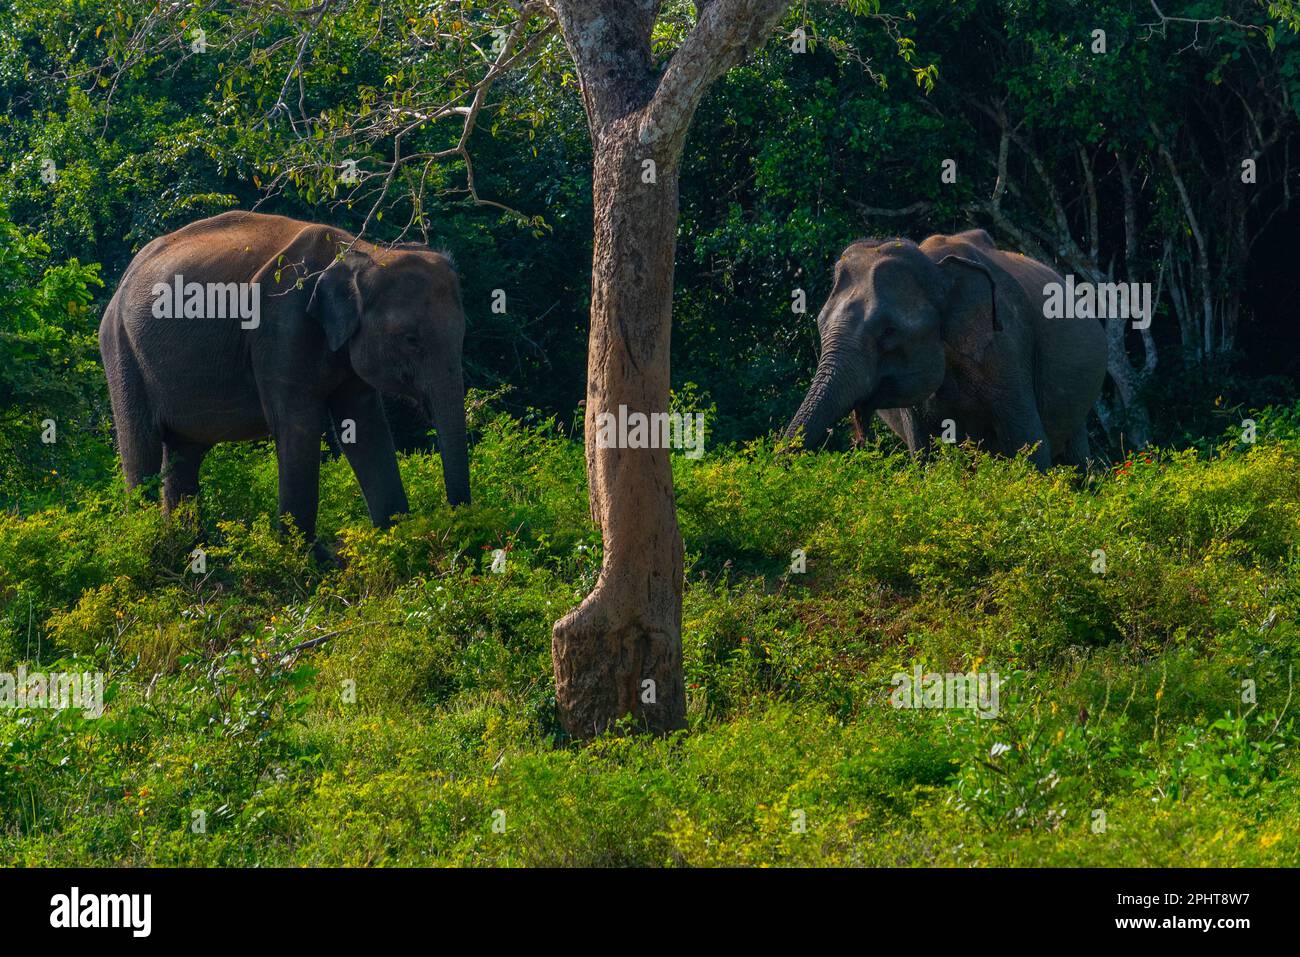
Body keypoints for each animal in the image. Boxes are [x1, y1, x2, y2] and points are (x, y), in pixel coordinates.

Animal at [99, 210, 471, 546]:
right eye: (410, 339)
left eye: (462, 334)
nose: (455, 525)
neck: (364, 252)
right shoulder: (280, 326)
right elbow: (299, 426)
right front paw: (304, 559)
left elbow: (364, 427)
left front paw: (398, 541)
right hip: (120, 350)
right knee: (141, 446)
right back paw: (150, 548)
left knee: (184, 454)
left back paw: (188, 550)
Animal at [784, 229, 1107, 469]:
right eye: (820, 324)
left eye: (889, 332)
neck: (937, 269)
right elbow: (924, 454)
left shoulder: (1009, 345)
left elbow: (1028, 444)